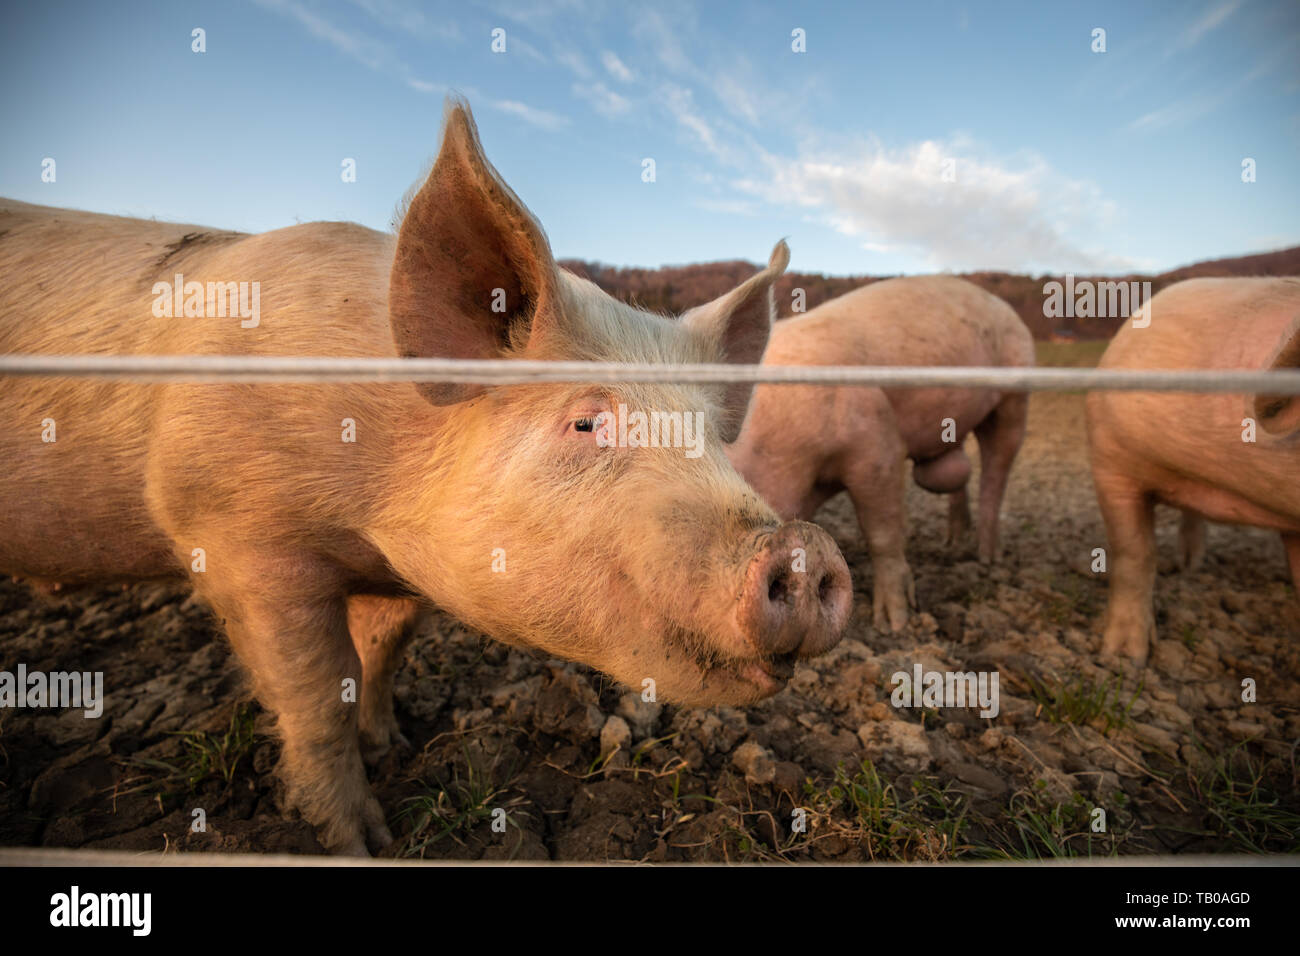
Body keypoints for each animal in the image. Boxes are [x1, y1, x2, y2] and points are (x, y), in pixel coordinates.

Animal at [0, 101, 852, 854]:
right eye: (585, 423)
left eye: (710, 435)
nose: (805, 548)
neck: (372, 517)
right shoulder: (237, 534)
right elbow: (317, 692)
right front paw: (360, 840)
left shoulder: (395, 571)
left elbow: (380, 650)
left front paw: (393, 742)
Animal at [726, 276, 1034, 631]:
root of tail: (1002, 305)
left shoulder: (877, 442)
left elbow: (882, 531)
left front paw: (892, 623)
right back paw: (954, 541)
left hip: (1014, 397)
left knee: (996, 471)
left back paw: (986, 557)